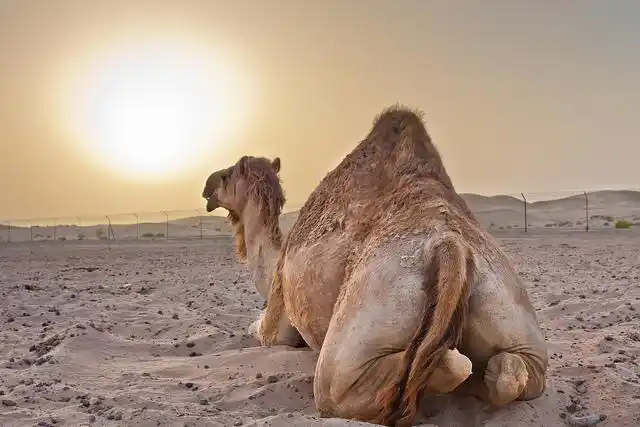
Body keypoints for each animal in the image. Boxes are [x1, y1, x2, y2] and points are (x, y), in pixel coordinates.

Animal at [201, 105, 548, 427]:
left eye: (226, 176)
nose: (207, 185)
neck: (278, 255)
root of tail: (451, 245)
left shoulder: (278, 317)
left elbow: (258, 330)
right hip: (513, 317)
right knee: (507, 372)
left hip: (365, 320)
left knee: (357, 381)